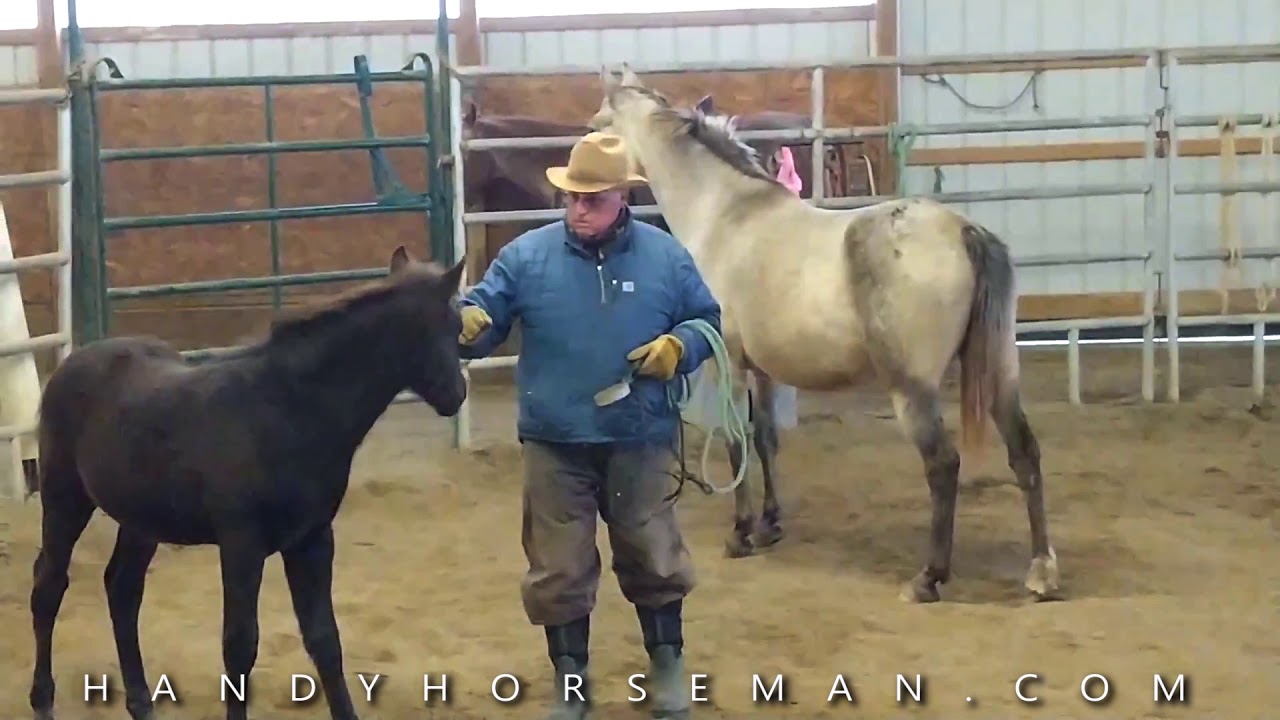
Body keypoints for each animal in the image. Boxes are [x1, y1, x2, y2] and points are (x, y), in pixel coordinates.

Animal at [28, 246, 467, 720]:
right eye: (433, 327)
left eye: (459, 326)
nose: (456, 394)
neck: (286, 409)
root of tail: (71, 362)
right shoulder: (242, 544)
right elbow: (239, 645)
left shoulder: (313, 539)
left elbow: (324, 639)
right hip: (64, 499)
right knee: (49, 585)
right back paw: (43, 700)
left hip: (140, 519)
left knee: (123, 589)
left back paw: (142, 704)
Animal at [589, 64, 1059, 604]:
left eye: (597, 125)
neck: (725, 213)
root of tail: (963, 231)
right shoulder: (764, 369)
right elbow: (765, 438)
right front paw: (770, 524)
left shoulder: (728, 361)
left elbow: (734, 441)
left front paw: (740, 534)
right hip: (999, 372)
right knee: (1025, 452)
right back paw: (1042, 572)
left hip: (913, 390)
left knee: (943, 465)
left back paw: (928, 577)